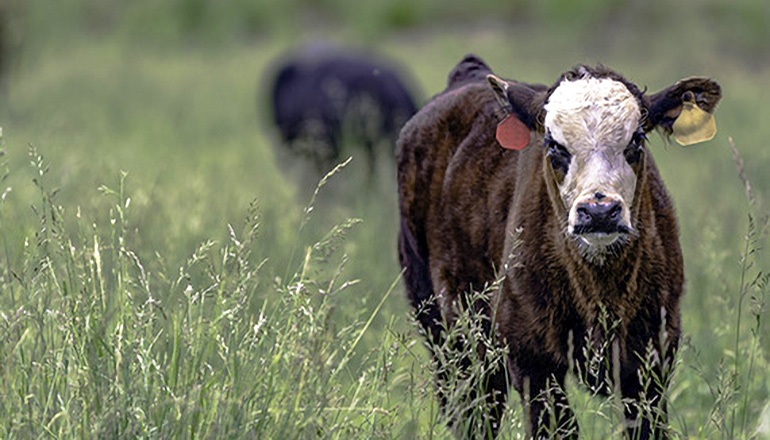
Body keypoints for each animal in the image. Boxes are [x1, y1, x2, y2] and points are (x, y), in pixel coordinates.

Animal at [397, 54, 721, 439]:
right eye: (554, 146)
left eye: (637, 140)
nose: (599, 210)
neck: (601, 293)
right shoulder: (532, 358)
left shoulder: (653, 358)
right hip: (443, 328)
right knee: (473, 412)